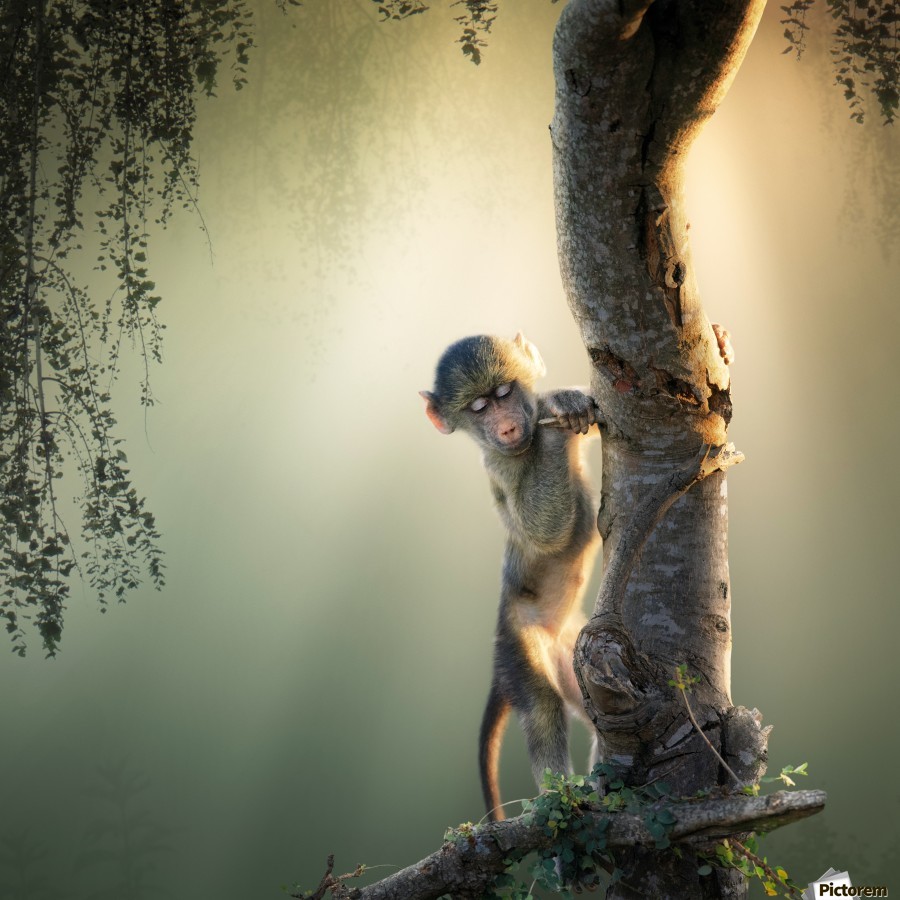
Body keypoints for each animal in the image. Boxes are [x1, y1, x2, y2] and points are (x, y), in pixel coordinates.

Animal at [420, 333, 601, 822]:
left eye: (503, 393)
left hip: (572, 649)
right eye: (479, 407)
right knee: (542, 706)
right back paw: (565, 797)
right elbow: (544, 528)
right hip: (518, 644)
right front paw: (557, 412)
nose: (506, 428)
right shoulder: (500, 466)